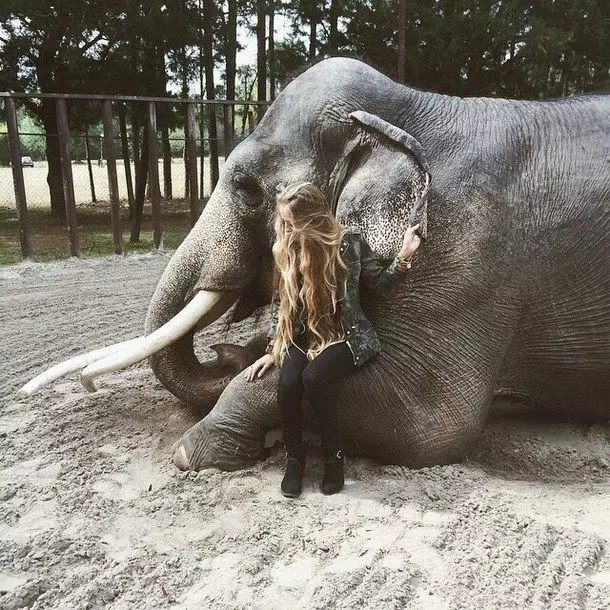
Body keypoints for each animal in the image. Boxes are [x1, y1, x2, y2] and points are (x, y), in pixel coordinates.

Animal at [20, 57, 608, 470]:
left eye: (248, 189)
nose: (222, 351)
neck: (412, 107)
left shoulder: (466, 252)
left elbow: (430, 423)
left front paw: (193, 451)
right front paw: (253, 356)